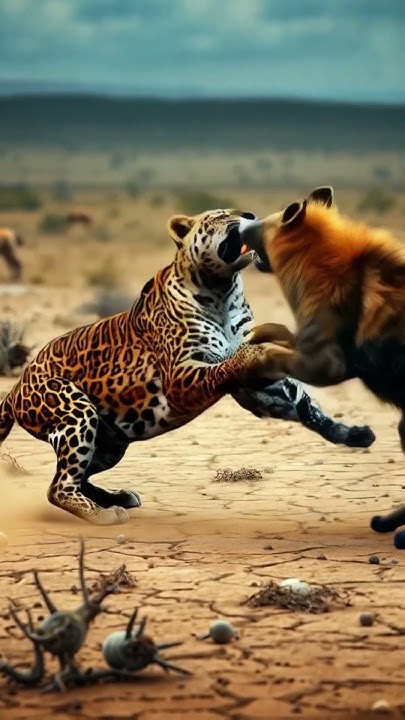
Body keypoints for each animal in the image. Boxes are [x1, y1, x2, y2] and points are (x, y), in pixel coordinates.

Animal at [0, 209, 375, 525]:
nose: (251, 215)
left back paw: (116, 498)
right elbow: (235, 359)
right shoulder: (183, 378)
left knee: (77, 476)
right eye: (223, 216)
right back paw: (103, 514)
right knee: (59, 486)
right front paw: (263, 347)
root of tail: (16, 389)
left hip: (110, 443)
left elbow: (307, 407)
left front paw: (353, 434)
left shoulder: (258, 392)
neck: (222, 291)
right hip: (75, 413)